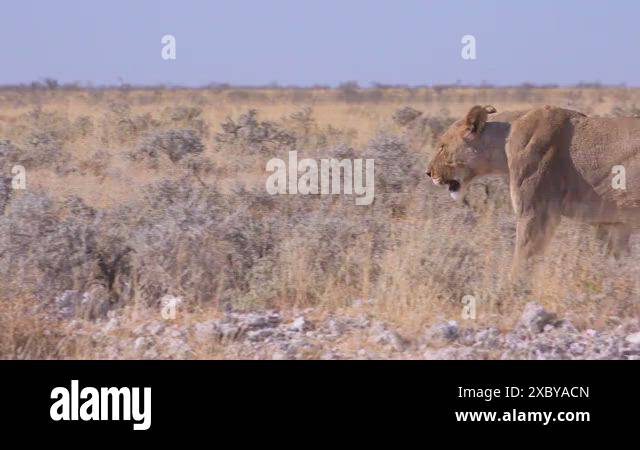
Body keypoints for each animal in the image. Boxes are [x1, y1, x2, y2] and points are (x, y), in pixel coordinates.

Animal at [426, 104, 640, 272]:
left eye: (442, 146)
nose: (428, 172)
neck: (504, 143)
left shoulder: (535, 212)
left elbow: (522, 261)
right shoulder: (615, 224)